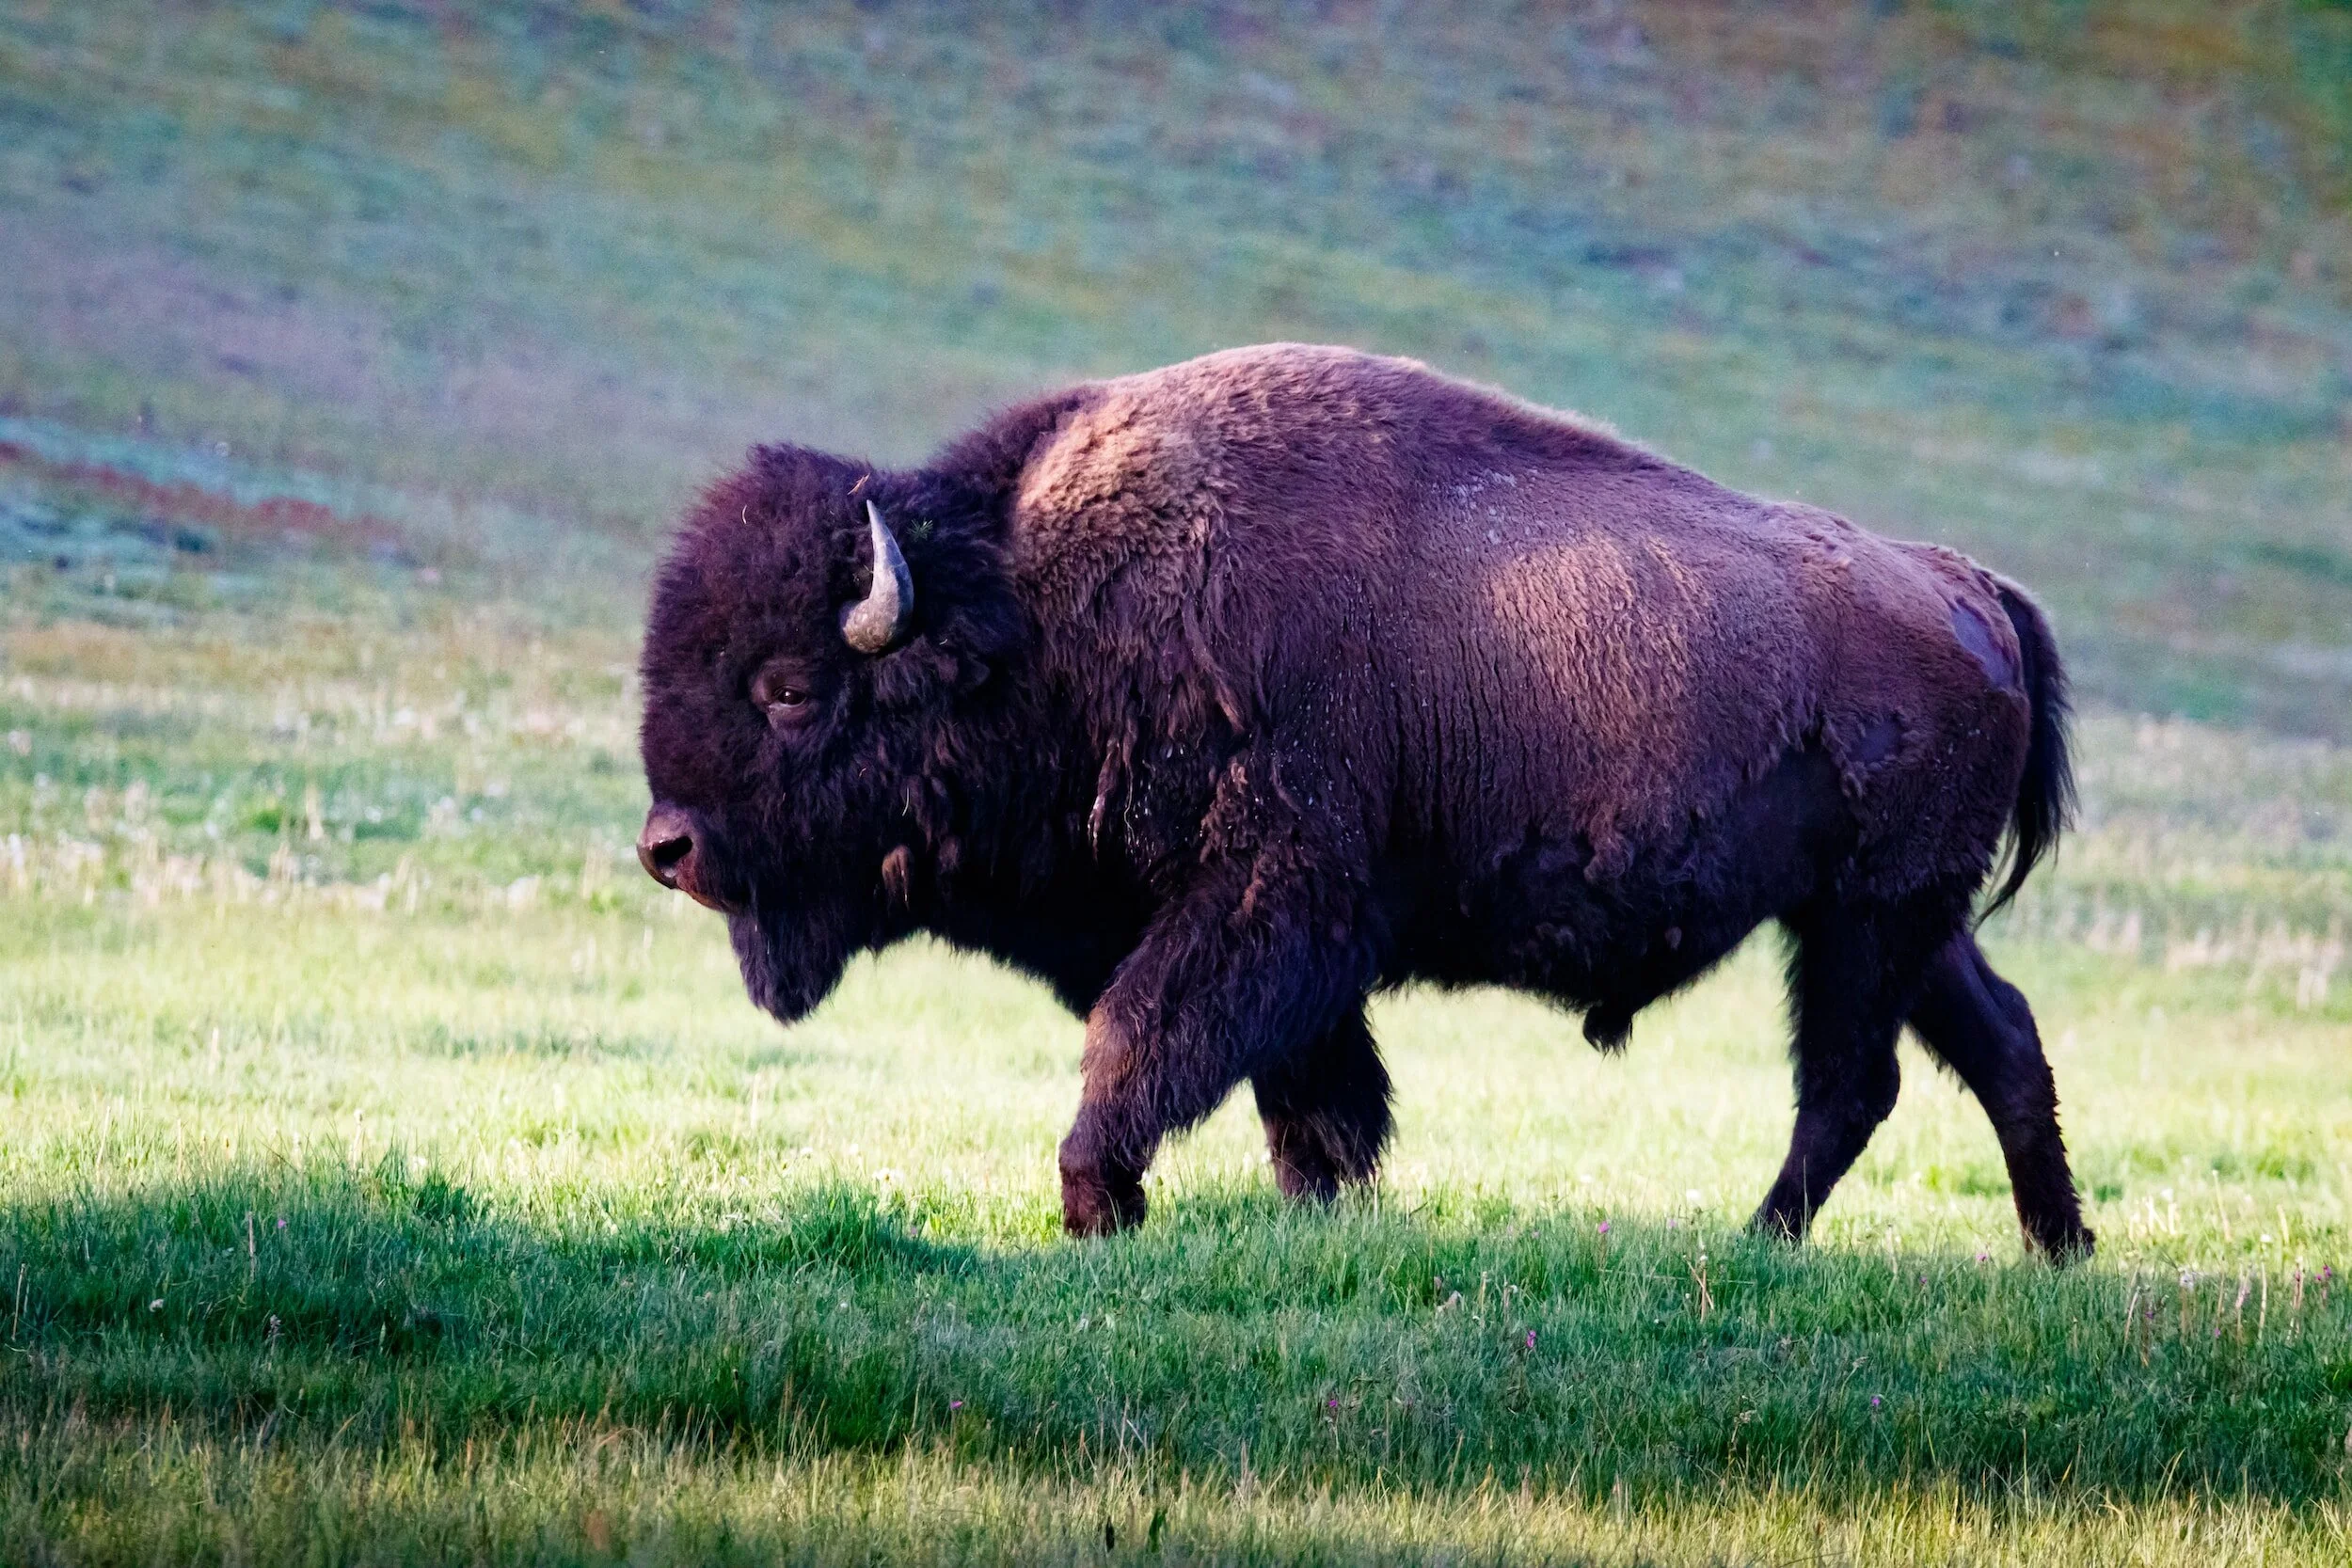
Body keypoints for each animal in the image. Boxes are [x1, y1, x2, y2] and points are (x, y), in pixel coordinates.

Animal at [637, 344, 2091, 1256]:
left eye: (784, 686)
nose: (667, 844)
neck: (1034, 610)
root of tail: (1965, 584)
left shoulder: (1262, 904)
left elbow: (1144, 1038)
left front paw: (1097, 1205)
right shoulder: (1285, 949)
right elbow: (1314, 1093)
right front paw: (1317, 1212)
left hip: (1862, 920)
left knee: (1853, 1078)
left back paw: (1765, 1241)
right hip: (1899, 920)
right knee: (1998, 1041)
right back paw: (2057, 1248)